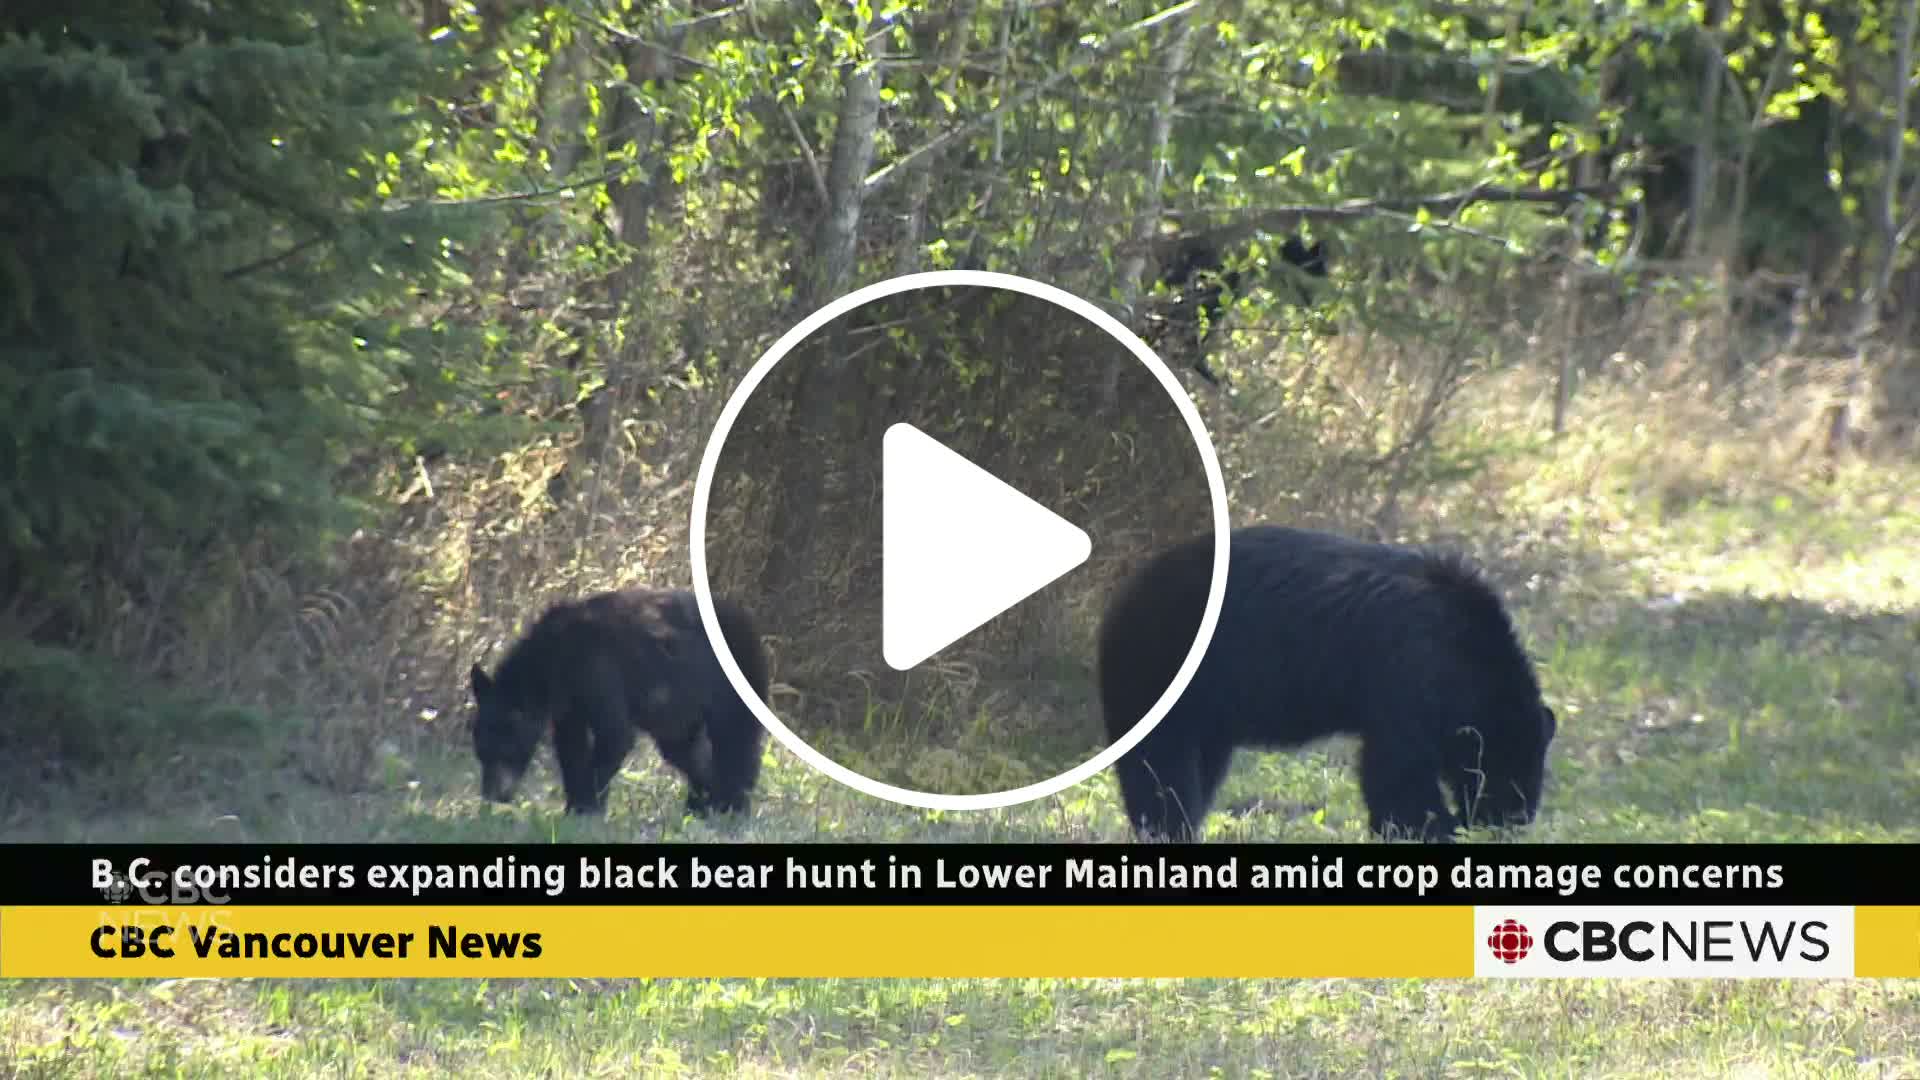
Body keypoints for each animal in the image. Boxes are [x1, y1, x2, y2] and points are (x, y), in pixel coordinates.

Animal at [468, 586, 771, 820]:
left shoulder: (598, 669)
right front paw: (574, 808)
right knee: (686, 751)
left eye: (505, 750)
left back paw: (734, 806)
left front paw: (588, 808)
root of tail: (749, 618)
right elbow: (570, 747)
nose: (492, 796)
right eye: (481, 752)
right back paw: (701, 806)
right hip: (676, 713)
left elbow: (614, 735)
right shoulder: (568, 706)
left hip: (736, 680)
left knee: (736, 742)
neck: (554, 657)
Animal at [1097, 525, 1557, 843]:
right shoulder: (1408, 673)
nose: (1512, 821)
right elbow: (1397, 772)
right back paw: (1167, 828)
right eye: (1503, 777)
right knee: (1158, 762)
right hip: (1158, 665)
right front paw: (1432, 829)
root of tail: (1121, 595)